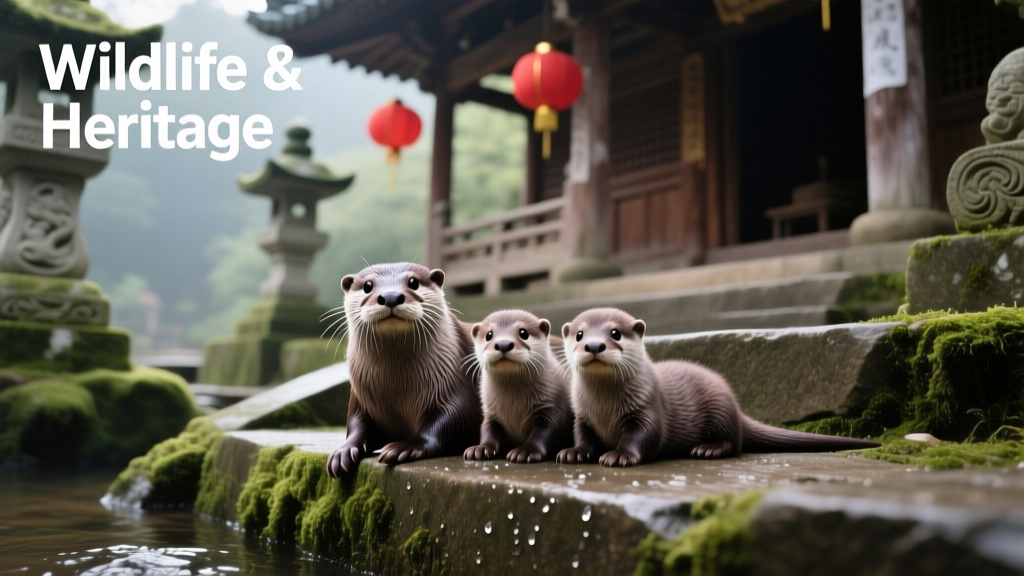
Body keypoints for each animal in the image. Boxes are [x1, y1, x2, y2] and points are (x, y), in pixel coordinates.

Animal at [326, 263, 481, 477]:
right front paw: (344, 451)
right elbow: (356, 424)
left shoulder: (455, 384)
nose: (391, 296)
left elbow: (454, 419)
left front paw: (405, 446)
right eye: (367, 286)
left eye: (413, 282)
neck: (396, 390)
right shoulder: (360, 397)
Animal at [463, 310, 573, 463]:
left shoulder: (553, 406)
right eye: (489, 335)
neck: (514, 407)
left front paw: (525, 451)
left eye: (523, 333)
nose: (503, 344)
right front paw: (480, 449)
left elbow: (545, 432)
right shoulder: (490, 412)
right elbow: (487, 429)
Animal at [555, 308, 880, 467]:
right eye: (580, 334)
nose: (594, 345)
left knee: (734, 443)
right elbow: (582, 435)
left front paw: (619, 455)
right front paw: (573, 452)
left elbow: (644, 435)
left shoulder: (647, 409)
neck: (604, 408)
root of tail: (736, 406)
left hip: (719, 410)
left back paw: (707, 449)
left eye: (615, 333)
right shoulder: (582, 415)